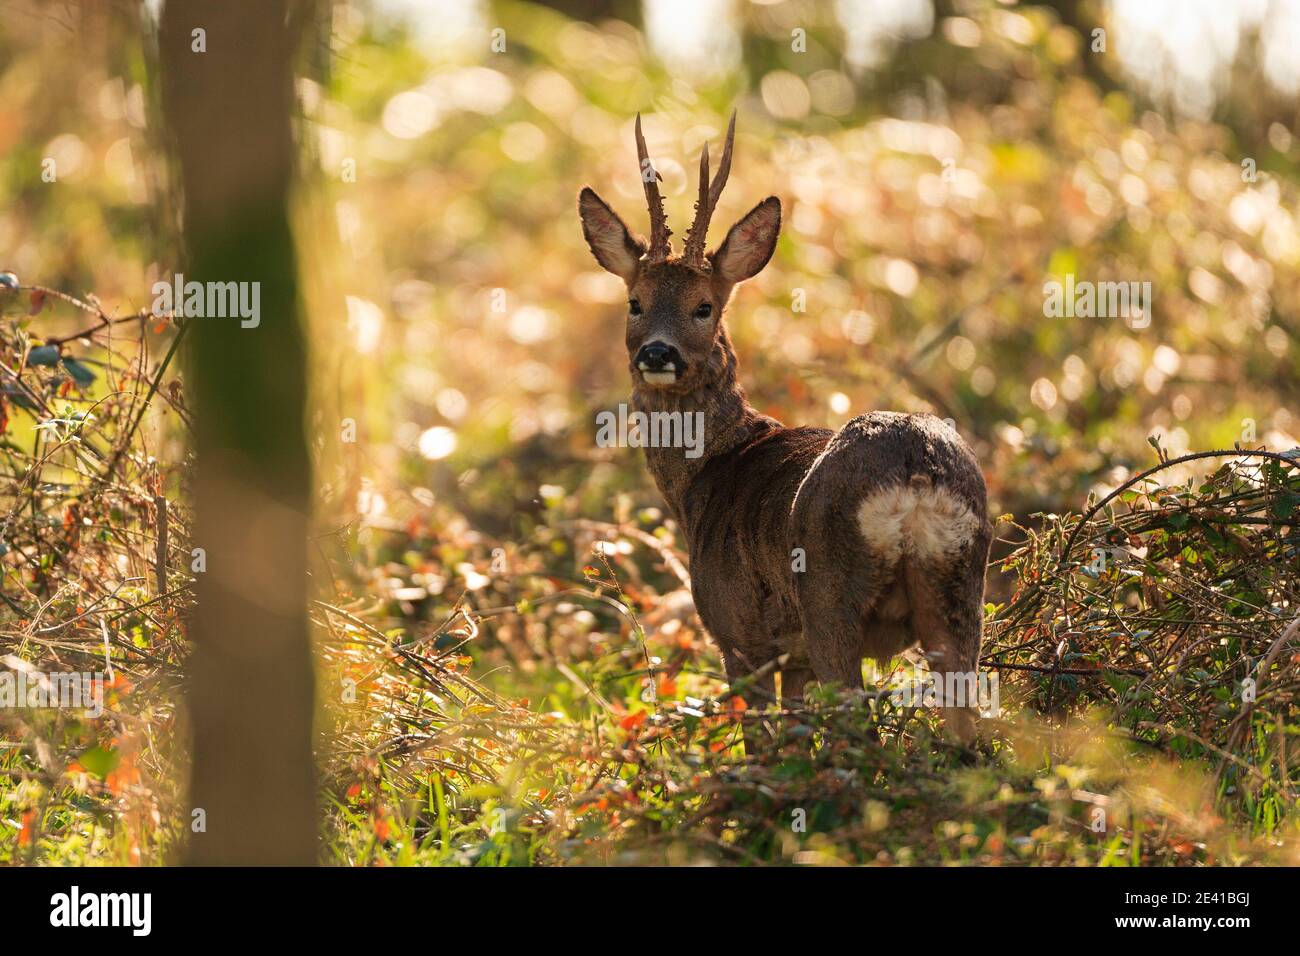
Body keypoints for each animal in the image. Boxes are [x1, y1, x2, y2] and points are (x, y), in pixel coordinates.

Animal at [577, 112, 992, 747]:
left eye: (704, 306)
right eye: (635, 302)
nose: (657, 353)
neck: (705, 475)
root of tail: (914, 474)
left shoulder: (739, 632)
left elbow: (760, 741)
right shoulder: (791, 659)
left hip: (827, 595)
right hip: (961, 588)